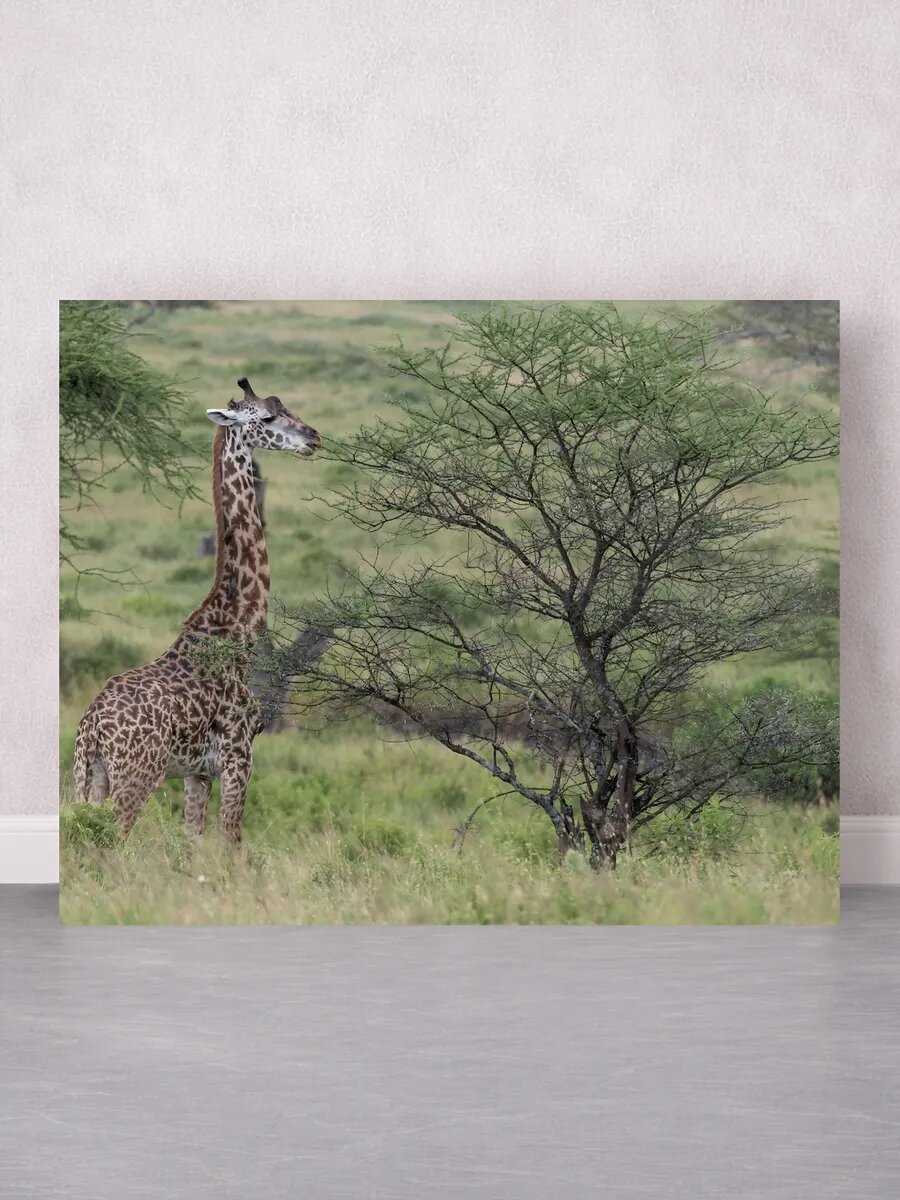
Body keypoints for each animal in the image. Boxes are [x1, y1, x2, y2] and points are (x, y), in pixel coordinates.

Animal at [72, 377, 321, 842]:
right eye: (268, 417)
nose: (314, 437)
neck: (238, 630)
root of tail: (92, 727)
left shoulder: (197, 772)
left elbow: (193, 841)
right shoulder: (238, 756)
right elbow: (231, 840)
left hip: (86, 776)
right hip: (136, 776)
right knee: (111, 839)